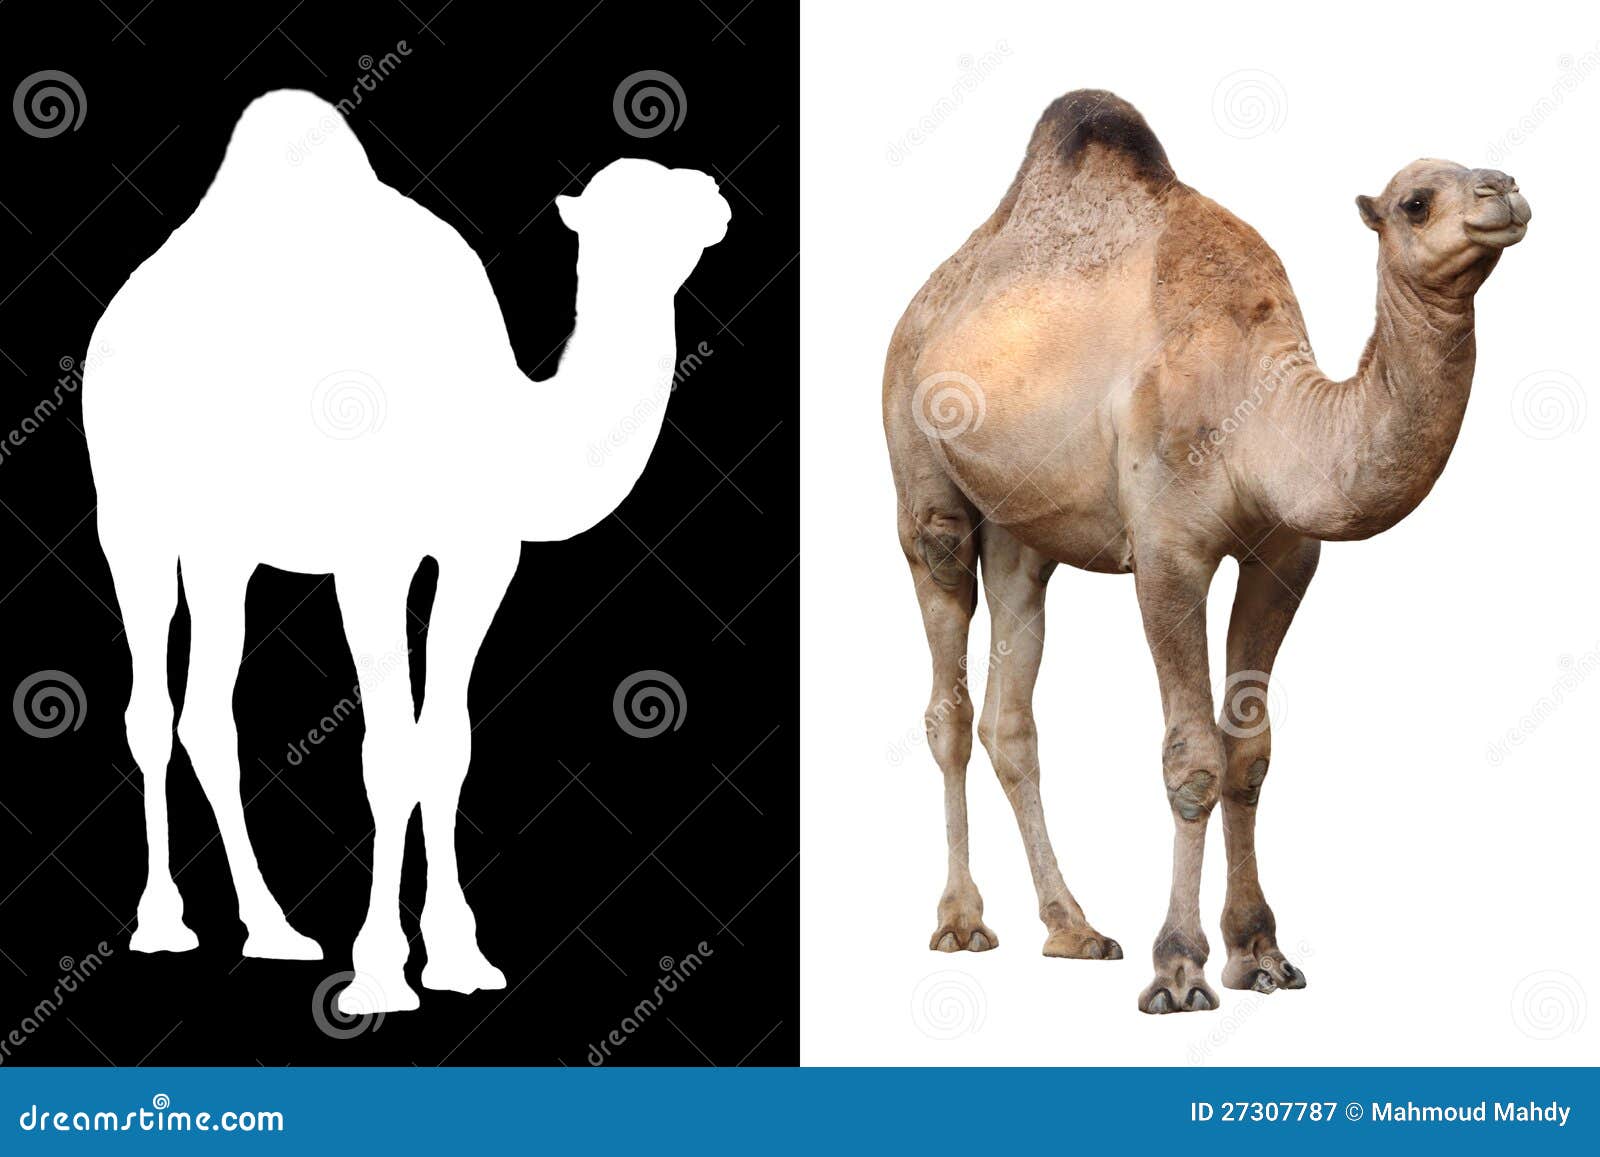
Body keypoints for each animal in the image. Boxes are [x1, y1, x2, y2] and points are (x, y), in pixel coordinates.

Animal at [84, 90, 729, 1013]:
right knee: (150, 707)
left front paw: (460, 956)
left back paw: (273, 929)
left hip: (224, 544)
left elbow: (446, 742)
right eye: (622, 209)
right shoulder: (371, 558)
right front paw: (382, 972)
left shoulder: (481, 555)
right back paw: (162, 923)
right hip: (133, 515)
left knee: (208, 708)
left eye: (677, 192)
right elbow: (385, 751)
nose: (712, 196)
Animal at [883, 90, 1529, 1013]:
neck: (1264, 410)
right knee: (947, 696)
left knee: (1011, 709)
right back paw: (963, 921)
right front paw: (1179, 966)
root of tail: (930, 296)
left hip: (1019, 532)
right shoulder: (1168, 553)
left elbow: (1248, 754)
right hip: (922, 480)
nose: (1503, 187)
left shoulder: (1284, 557)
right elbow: (1191, 758)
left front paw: (1259, 953)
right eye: (1416, 201)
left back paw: (1073, 928)